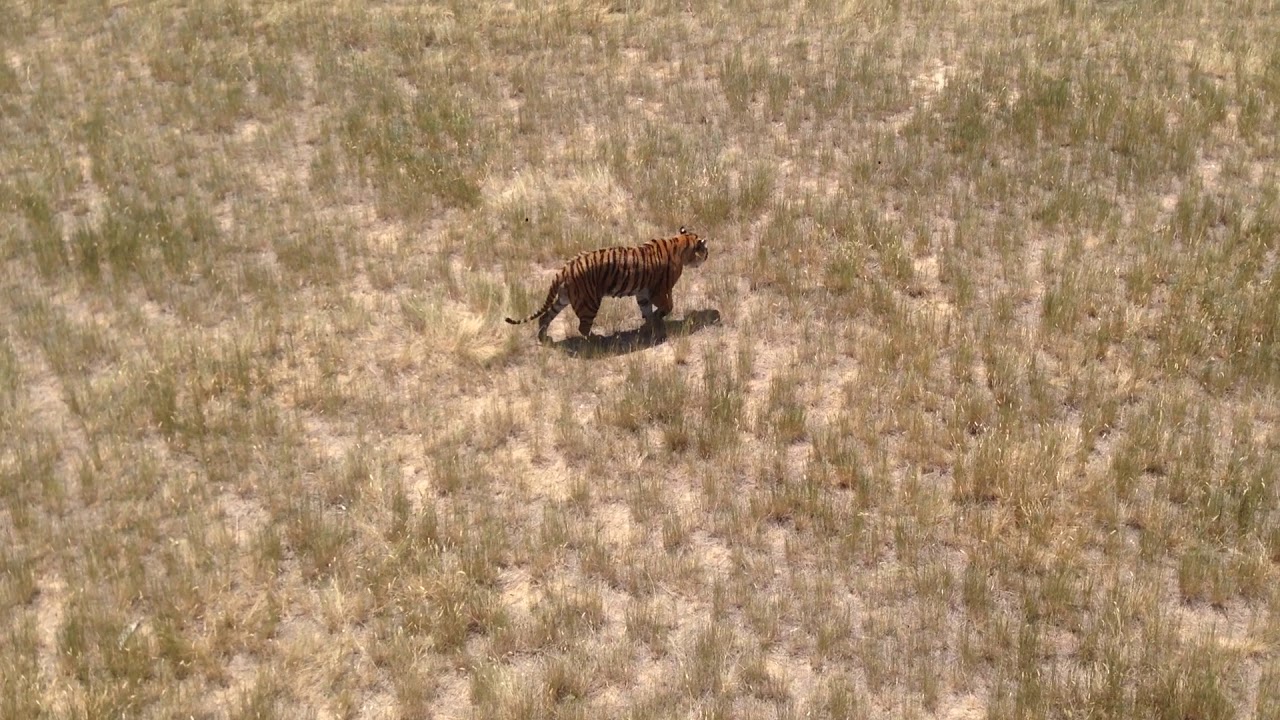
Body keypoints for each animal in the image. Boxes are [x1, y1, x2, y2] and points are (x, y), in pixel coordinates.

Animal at [505, 227, 709, 343]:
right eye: (705, 250)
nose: (708, 255)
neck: (680, 242)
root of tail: (565, 268)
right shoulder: (659, 290)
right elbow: (668, 305)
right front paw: (658, 319)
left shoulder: (643, 292)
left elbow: (647, 310)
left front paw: (649, 325)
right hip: (589, 303)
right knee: (583, 327)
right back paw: (597, 340)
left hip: (563, 299)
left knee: (545, 317)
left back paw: (544, 338)